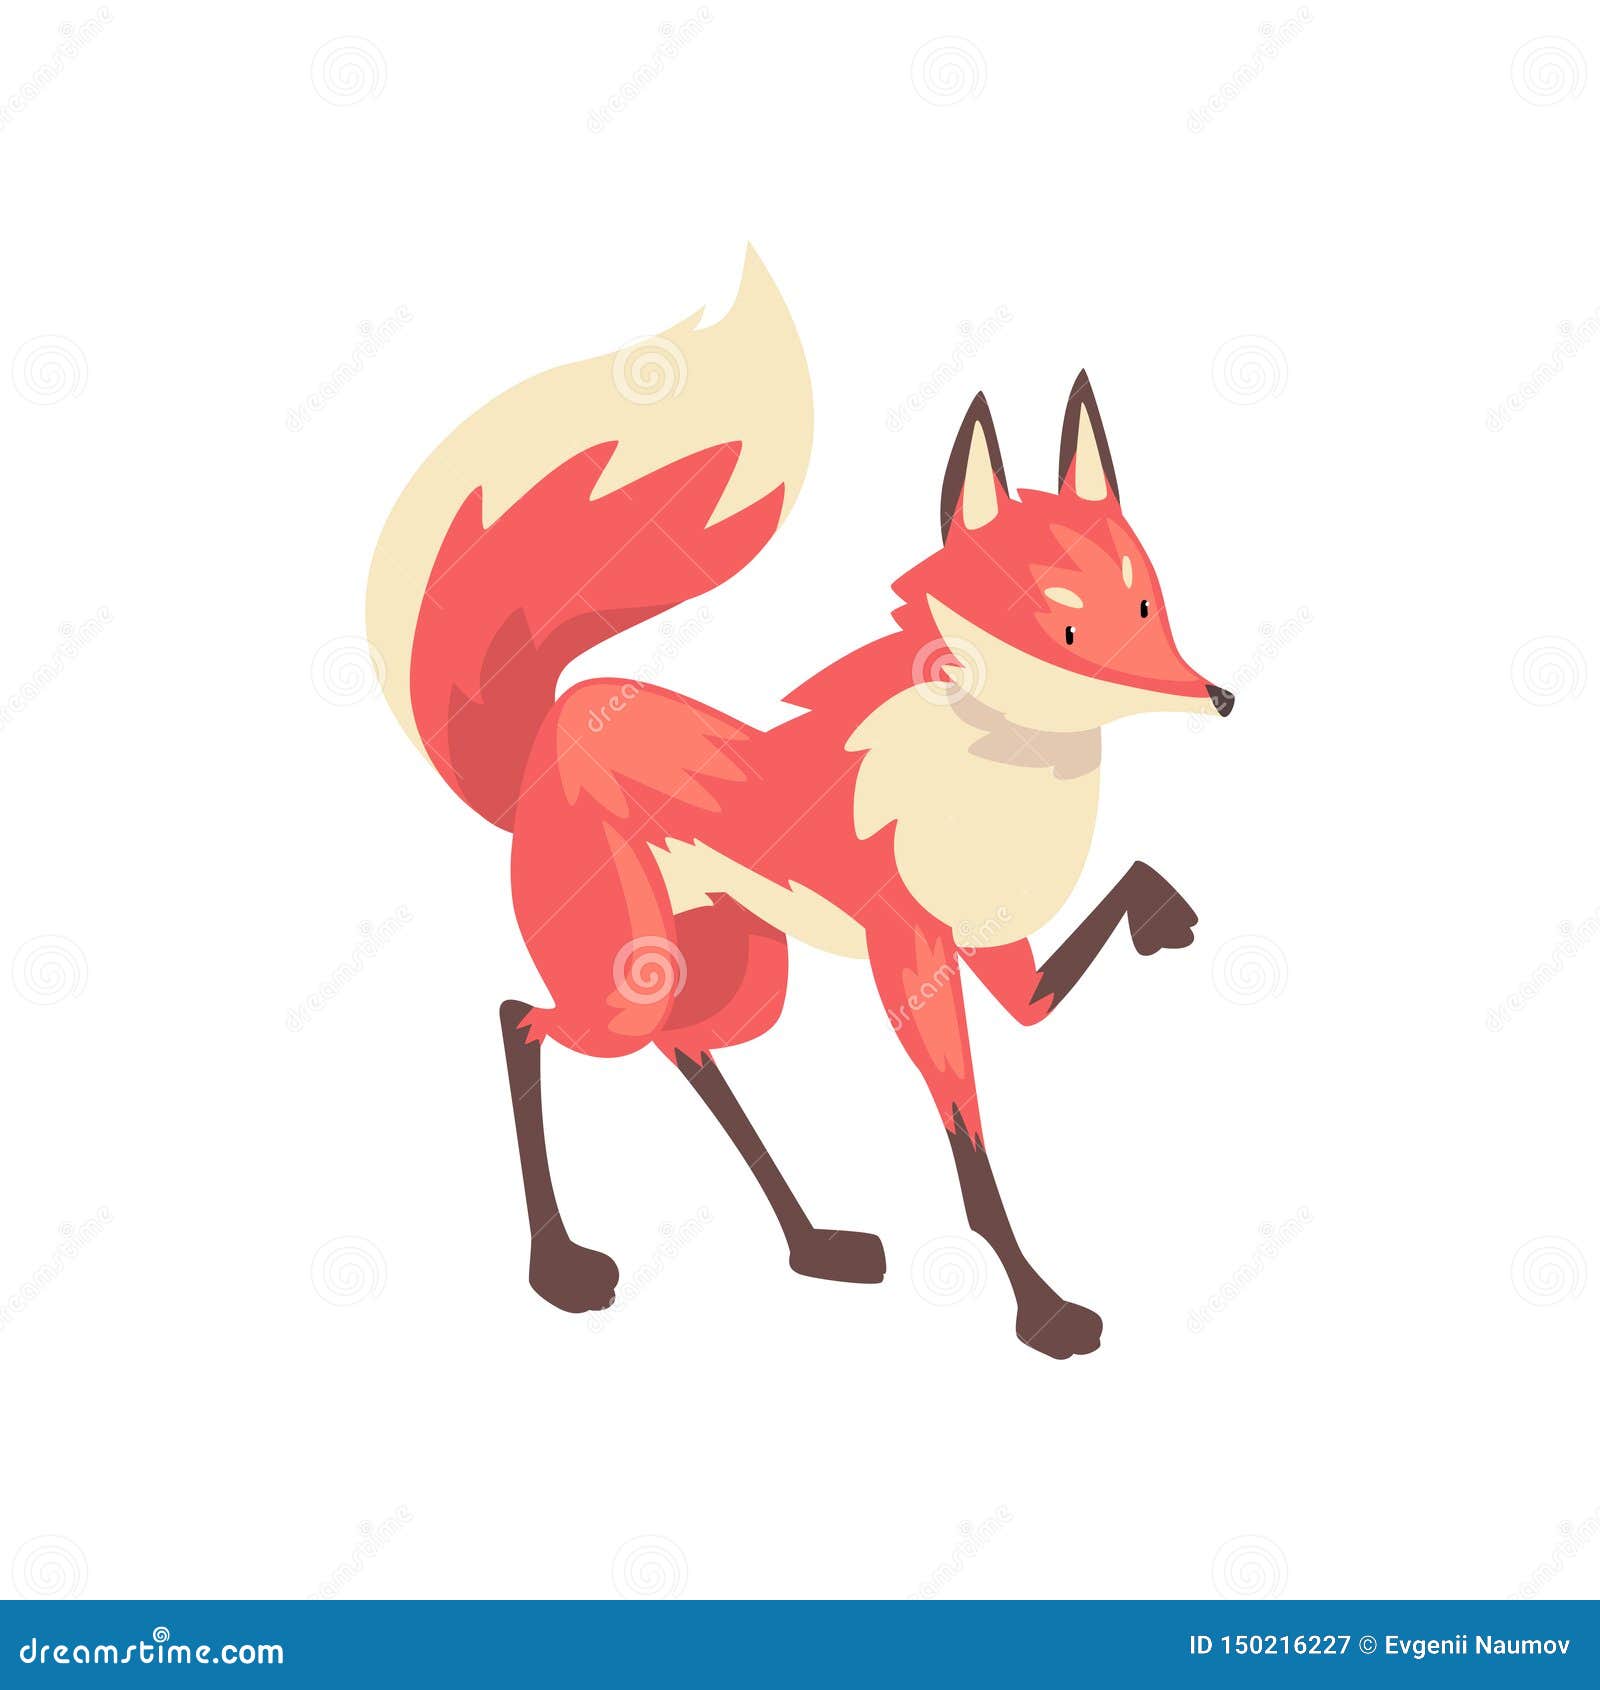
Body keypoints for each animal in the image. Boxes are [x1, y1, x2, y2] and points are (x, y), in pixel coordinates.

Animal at [368, 249, 1232, 1359]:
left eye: (1150, 607)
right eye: (1071, 631)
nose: (1218, 696)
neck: (998, 785)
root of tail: (550, 727)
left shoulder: (1004, 963)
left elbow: (1113, 903)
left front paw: (1167, 917)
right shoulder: (913, 958)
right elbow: (972, 1159)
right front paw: (1039, 1309)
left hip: (736, 981)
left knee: (689, 1053)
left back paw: (813, 1243)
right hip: (626, 981)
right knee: (521, 1018)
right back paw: (559, 1268)